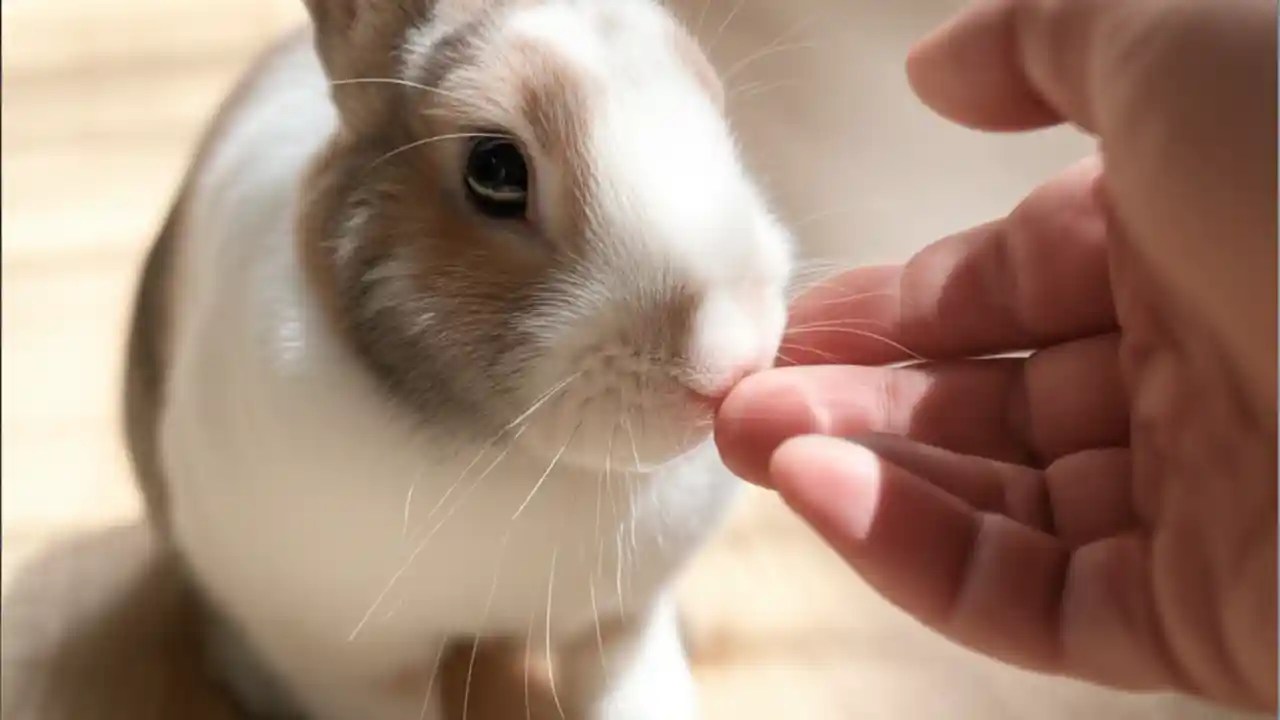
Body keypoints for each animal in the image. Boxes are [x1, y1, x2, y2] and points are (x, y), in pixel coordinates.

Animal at [124, 1, 793, 718]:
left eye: (713, 104)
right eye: (494, 170)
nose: (730, 363)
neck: (507, 460)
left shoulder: (623, 619)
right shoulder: (350, 664)